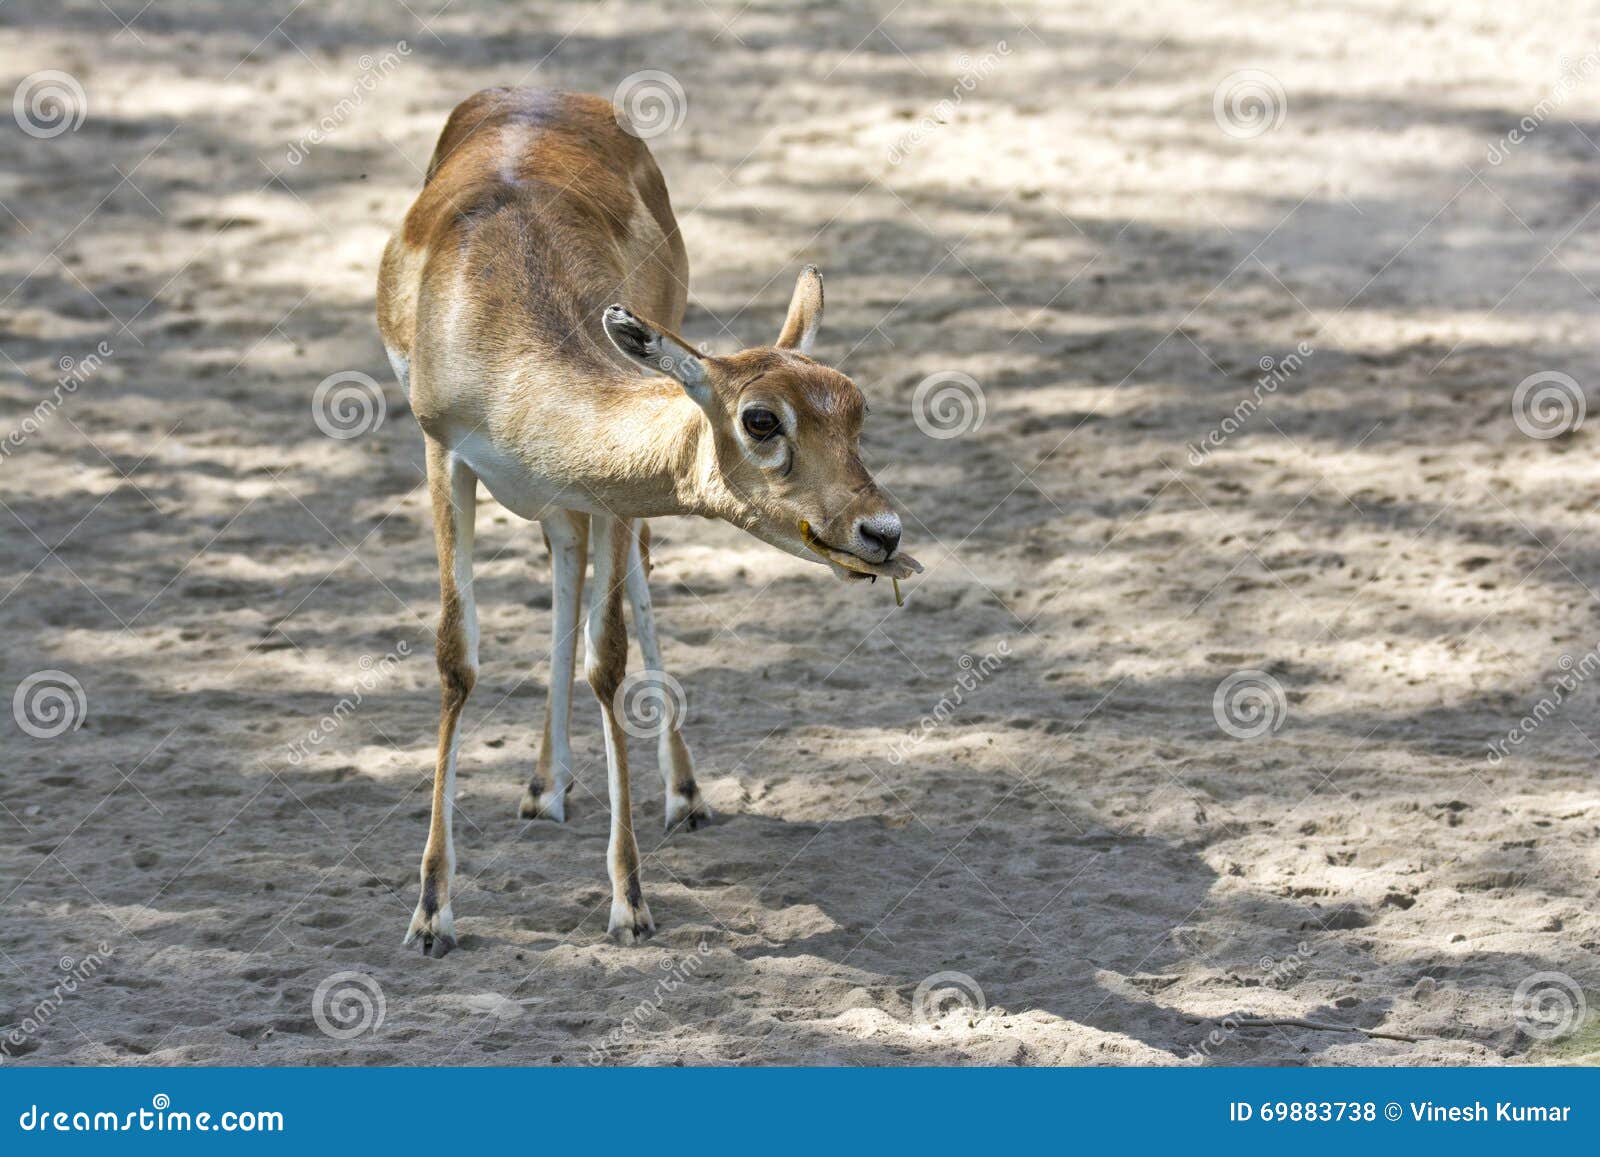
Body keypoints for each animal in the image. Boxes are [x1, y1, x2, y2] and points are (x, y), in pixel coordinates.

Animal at [376, 87, 920, 956]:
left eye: (856, 407)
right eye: (762, 419)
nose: (883, 531)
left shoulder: (611, 497)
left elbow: (609, 661)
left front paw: (629, 899)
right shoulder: (443, 452)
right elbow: (457, 658)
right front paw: (430, 912)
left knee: (612, 574)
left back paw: (676, 793)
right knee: (565, 560)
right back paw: (543, 785)